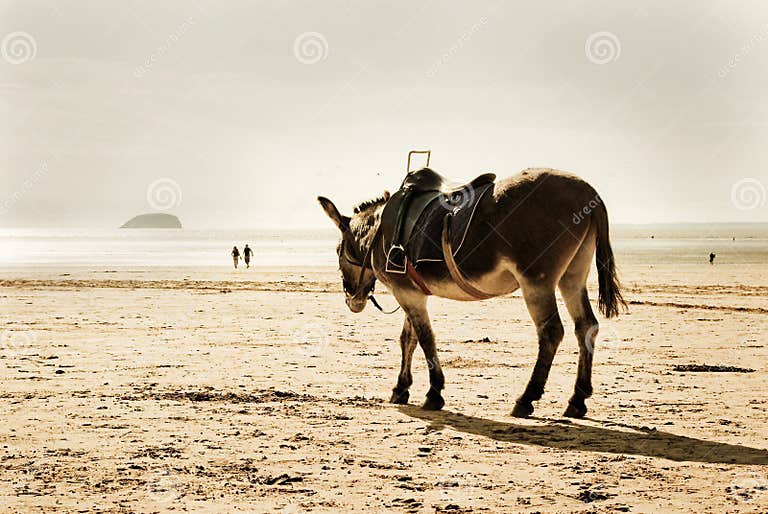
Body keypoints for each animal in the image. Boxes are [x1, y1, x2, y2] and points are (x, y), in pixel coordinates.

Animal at [318, 167, 625, 418]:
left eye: (337, 250)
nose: (351, 299)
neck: (381, 230)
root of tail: (589, 192)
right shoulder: (411, 292)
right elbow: (409, 339)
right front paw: (401, 388)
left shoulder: (407, 294)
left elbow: (426, 339)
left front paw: (434, 393)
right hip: (572, 277)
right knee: (586, 327)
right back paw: (577, 400)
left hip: (537, 283)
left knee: (551, 332)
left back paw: (526, 398)